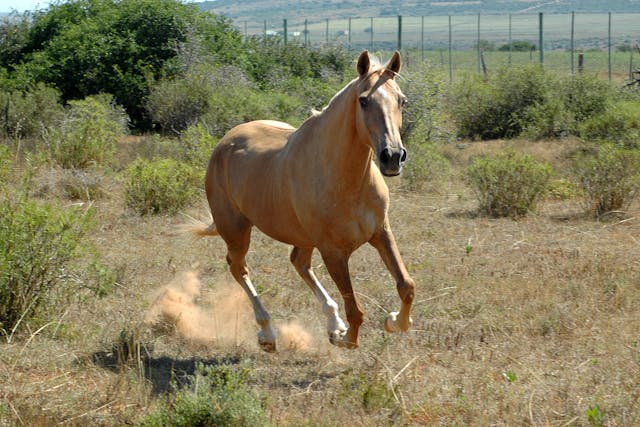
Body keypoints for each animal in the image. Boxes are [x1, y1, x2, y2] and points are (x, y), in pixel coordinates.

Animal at [192, 50, 415, 352]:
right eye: (363, 100)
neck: (347, 181)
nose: (392, 156)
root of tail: (225, 142)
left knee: (298, 263)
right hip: (236, 231)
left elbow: (406, 285)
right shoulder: (333, 252)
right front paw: (345, 338)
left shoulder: (381, 233)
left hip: (302, 237)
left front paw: (394, 322)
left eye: (402, 100)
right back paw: (268, 334)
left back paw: (332, 322)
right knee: (239, 268)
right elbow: (355, 310)